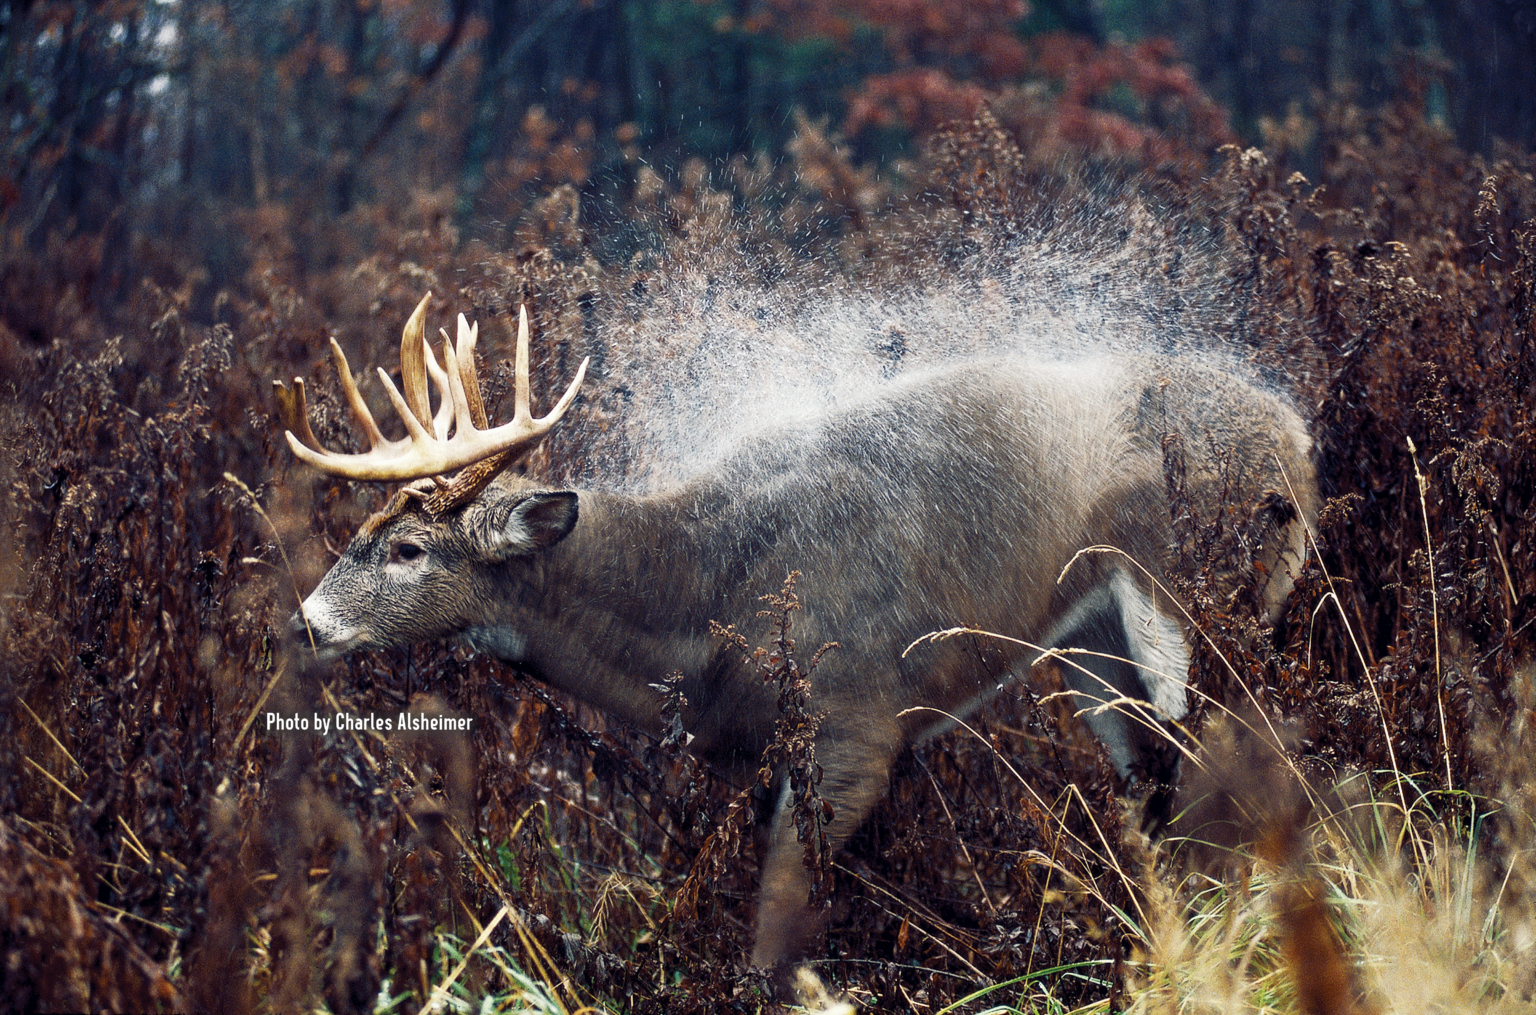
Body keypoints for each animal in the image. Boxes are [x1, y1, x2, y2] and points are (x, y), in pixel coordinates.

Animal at [276, 293, 1317, 981]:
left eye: (407, 547)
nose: (307, 620)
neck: (702, 597)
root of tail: (1300, 435)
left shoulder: (853, 719)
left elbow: (773, 934)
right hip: (1096, 646)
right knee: (1156, 784)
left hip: (1201, 596)